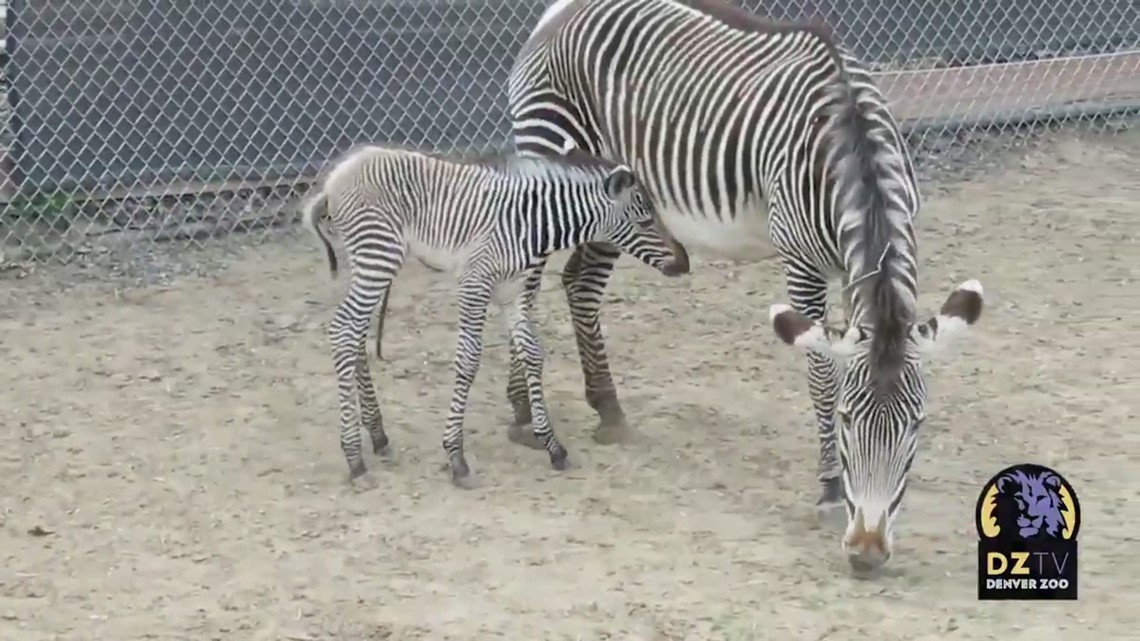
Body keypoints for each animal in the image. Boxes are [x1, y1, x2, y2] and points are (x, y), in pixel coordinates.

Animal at [301, 143, 687, 490]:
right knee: (344, 330)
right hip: (378, 254)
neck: (530, 225)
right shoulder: (475, 283)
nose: (683, 264)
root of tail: (336, 176)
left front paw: (552, 446)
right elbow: (469, 360)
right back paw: (355, 459)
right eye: (645, 221)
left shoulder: (510, 293)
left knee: (355, 333)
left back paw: (377, 434)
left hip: (370, 261)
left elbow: (533, 354)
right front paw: (456, 457)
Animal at [504, 0, 985, 570]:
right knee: (520, 292)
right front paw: (827, 489)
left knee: (581, 284)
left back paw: (607, 408)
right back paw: (523, 416)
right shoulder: (803, 263)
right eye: (847, 422)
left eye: (916, 426)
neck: (854, 152)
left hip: (615, 203)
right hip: (551, 161)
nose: (867, 553)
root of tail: (561, 11)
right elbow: (821, 373)